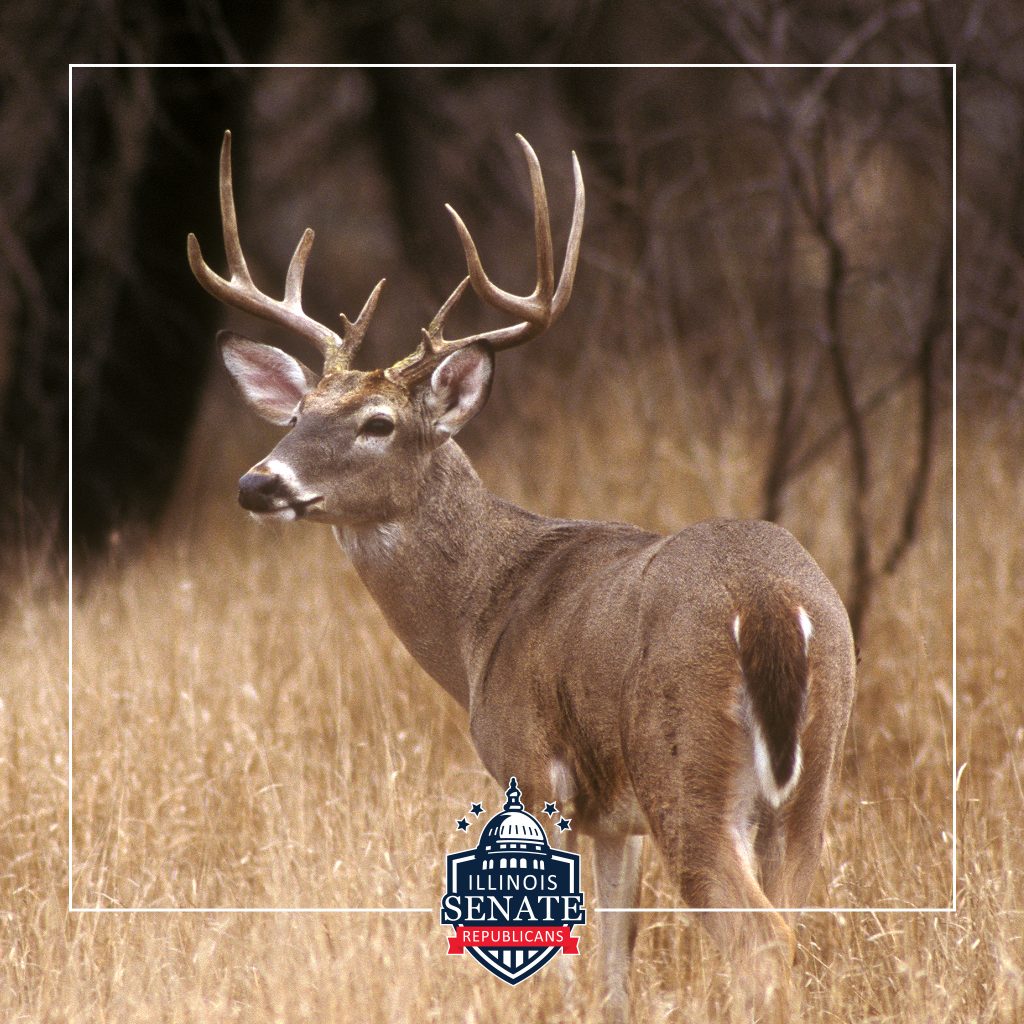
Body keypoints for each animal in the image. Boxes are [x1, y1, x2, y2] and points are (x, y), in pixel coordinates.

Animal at [188, 131, 856, 1023]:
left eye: (378, 423)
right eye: (298, 415)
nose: (258, 483)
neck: (481, 615)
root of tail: (774, 605)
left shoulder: (532, 763)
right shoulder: (612, 816)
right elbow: (615, 965)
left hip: (687, 770)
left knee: (760, 942)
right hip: (813, 779)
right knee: (792, 924)